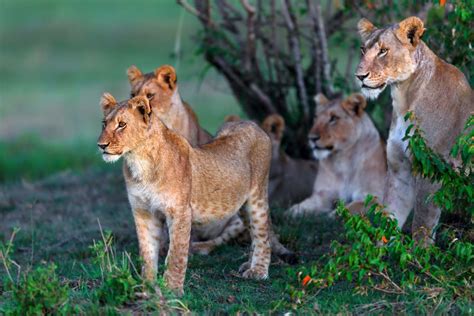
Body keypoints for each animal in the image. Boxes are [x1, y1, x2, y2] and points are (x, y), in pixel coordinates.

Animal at [96, 95, 272, 296]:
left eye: (122, 124)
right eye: (104, 124)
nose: (101, 145)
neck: (139, 161)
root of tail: (251, 124)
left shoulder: (180, 212)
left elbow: (176, 254)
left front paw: (172, 291)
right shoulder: (143, 211)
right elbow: (147, 253)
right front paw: (147, 287)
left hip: (257, 196)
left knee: (262, 233)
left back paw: (258, 270)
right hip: (240, 204)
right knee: (252, 230)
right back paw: (248, 264)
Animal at [358, 16, 472, 243]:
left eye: (383, 51)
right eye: (363, 49)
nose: (359, 76)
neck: (403, 97)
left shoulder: (433, 168)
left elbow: (422, 223)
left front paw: (420, 252)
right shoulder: (399, 169)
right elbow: (389, 216)